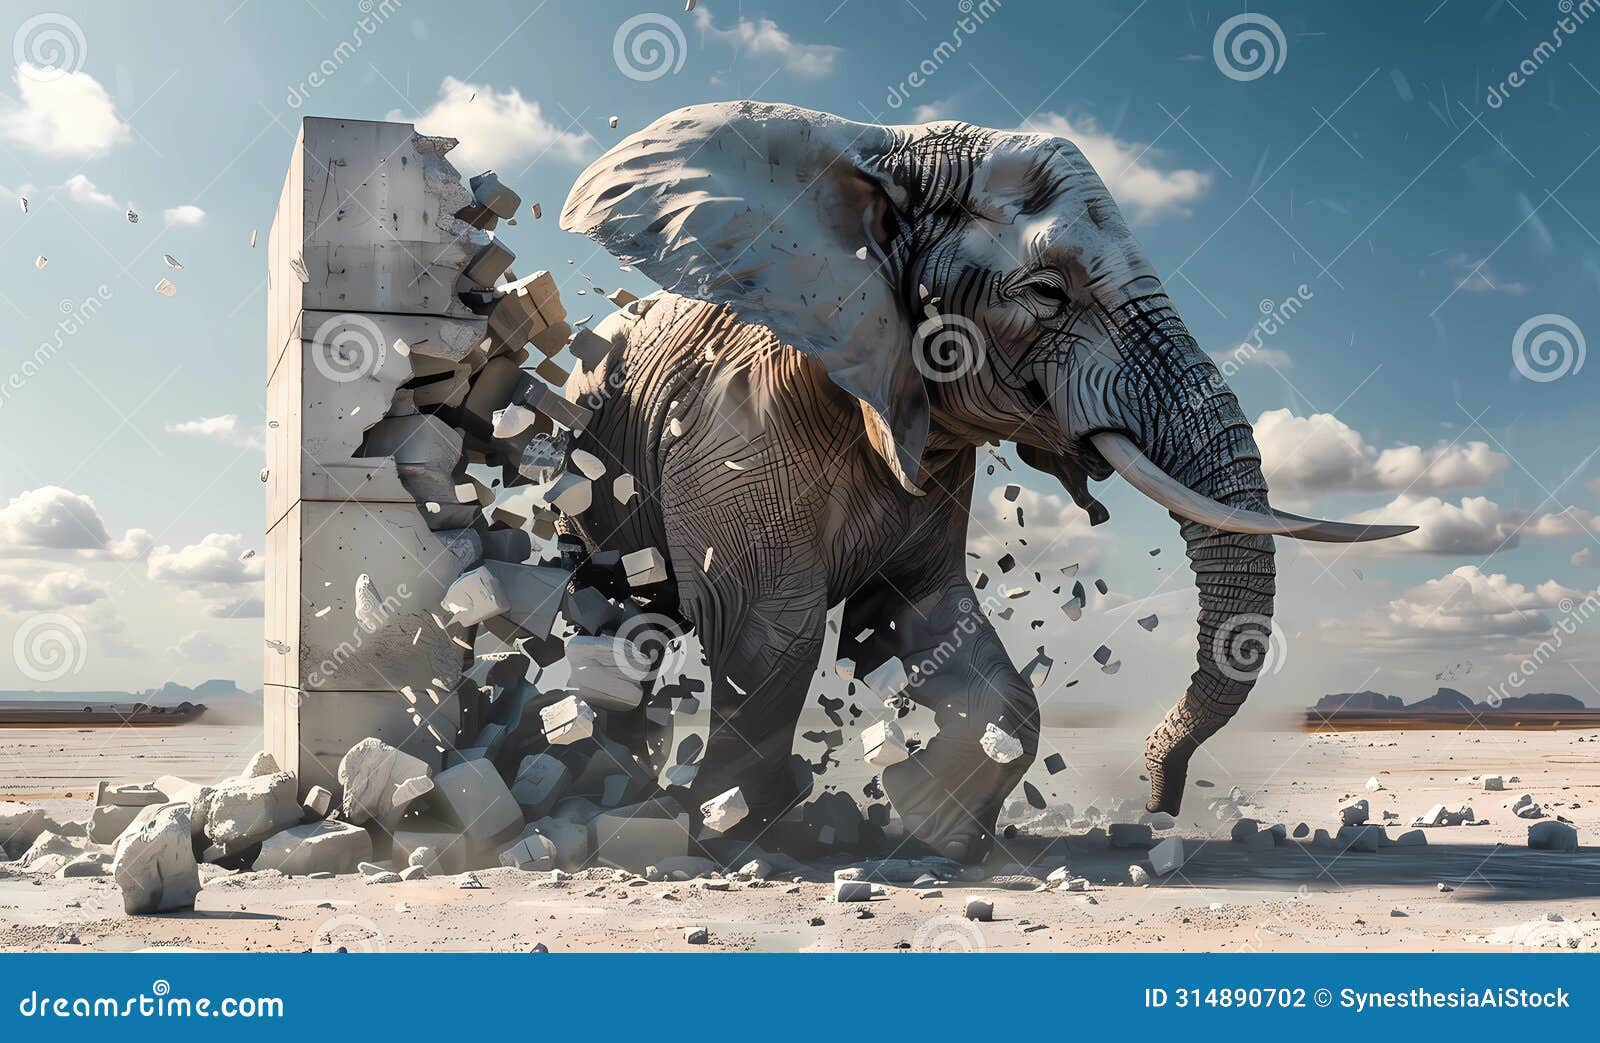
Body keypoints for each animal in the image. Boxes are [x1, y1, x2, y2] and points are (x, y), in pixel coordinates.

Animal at [554, 100, 1414, 861]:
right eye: (1047, 292)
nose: (1158, 800)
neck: (879, 150)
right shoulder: (735, 426)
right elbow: (771, 633)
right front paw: (732, 832)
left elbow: (935, 621)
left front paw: (932, 829)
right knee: (616, 620)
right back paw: (616, 789)